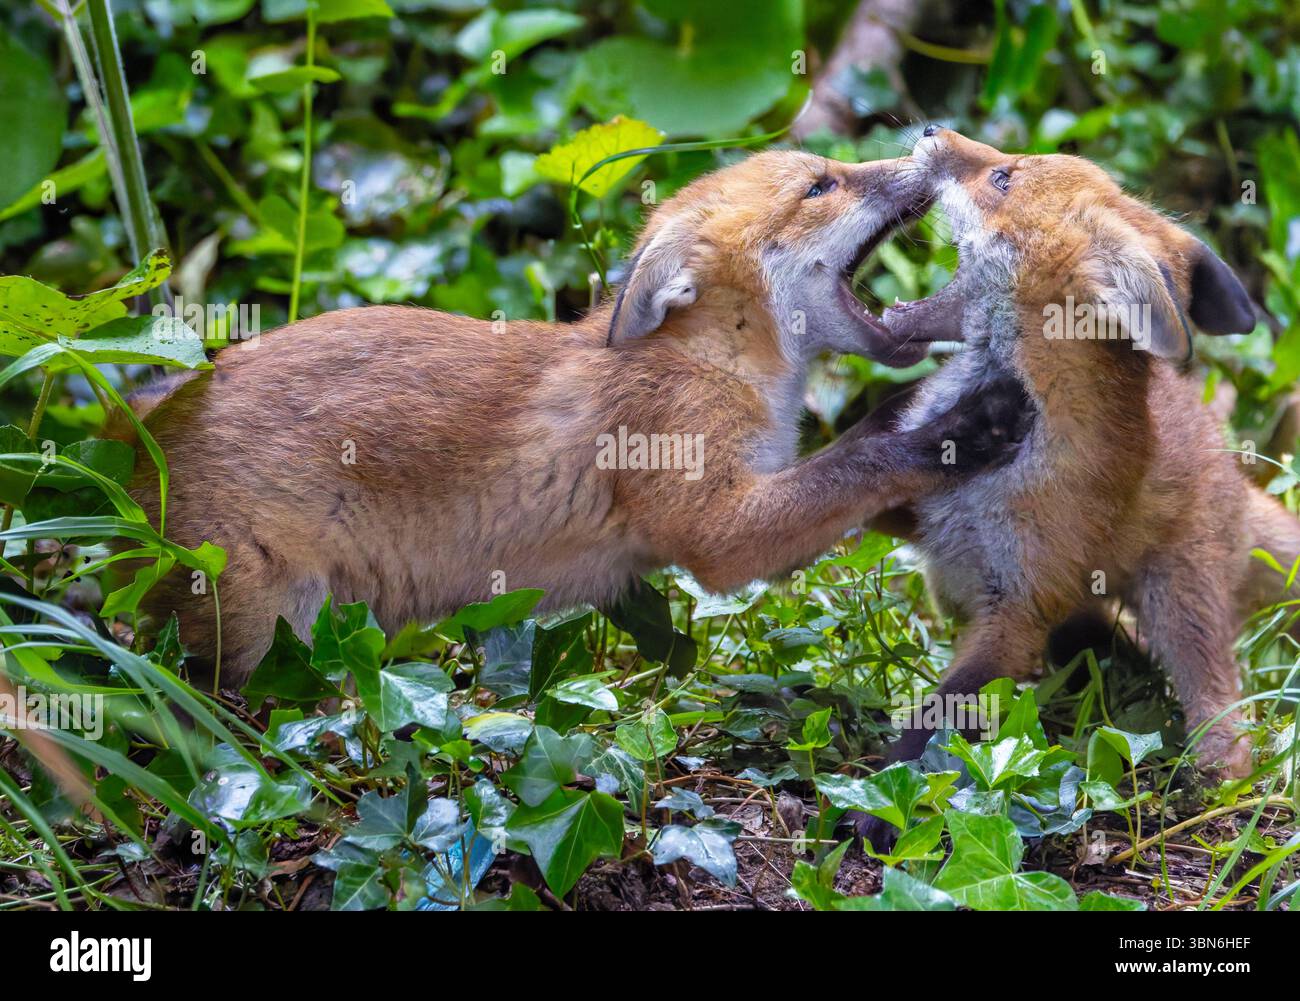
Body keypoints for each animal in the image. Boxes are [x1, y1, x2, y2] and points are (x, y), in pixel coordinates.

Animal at [116, 150, 1027, 688]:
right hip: (275, 627)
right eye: (821, 185)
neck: (710, 365)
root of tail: (144, 437)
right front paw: (963, 428)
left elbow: (868, 452)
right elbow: (859, 460)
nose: (929, 145)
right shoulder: (717, 532)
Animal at [863, 127, 1300, 791]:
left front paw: (881, 799)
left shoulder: (1019, 607)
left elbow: (938, 719)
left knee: (1223, 714)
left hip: (1181, 602)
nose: (932, 130)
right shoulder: (920, 509)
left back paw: (1217, 779)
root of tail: (1230, 471)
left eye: (1002, 180)